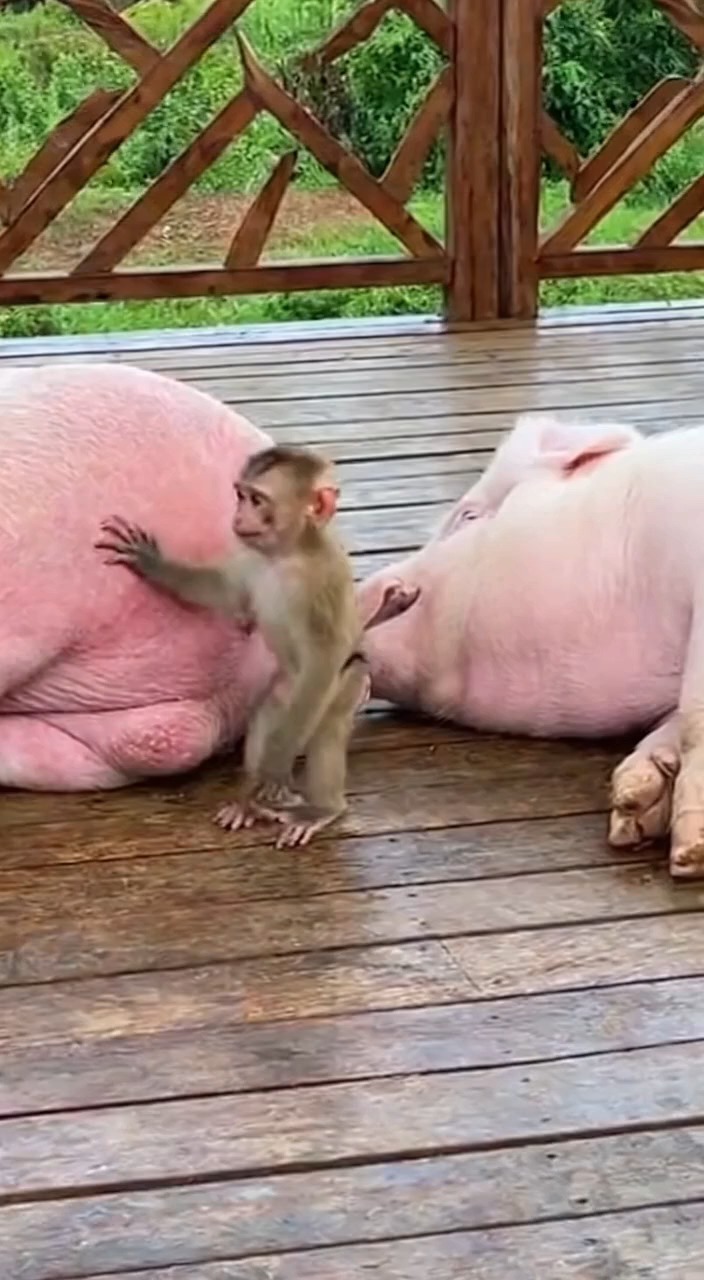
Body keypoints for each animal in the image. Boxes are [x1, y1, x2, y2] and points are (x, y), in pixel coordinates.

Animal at [95, 444, 419, 848]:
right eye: (241, 495)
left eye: (257, 499)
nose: (239, 515)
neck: (287, 554)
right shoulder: (250, 558)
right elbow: (223, 592)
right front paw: (151, 562)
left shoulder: (321, 584)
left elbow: (322, 659)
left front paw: (276, 770)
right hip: (283, 694)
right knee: (265, 724)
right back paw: (249, 803)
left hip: (342, 686)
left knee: (326, 728)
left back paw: (322, 808)